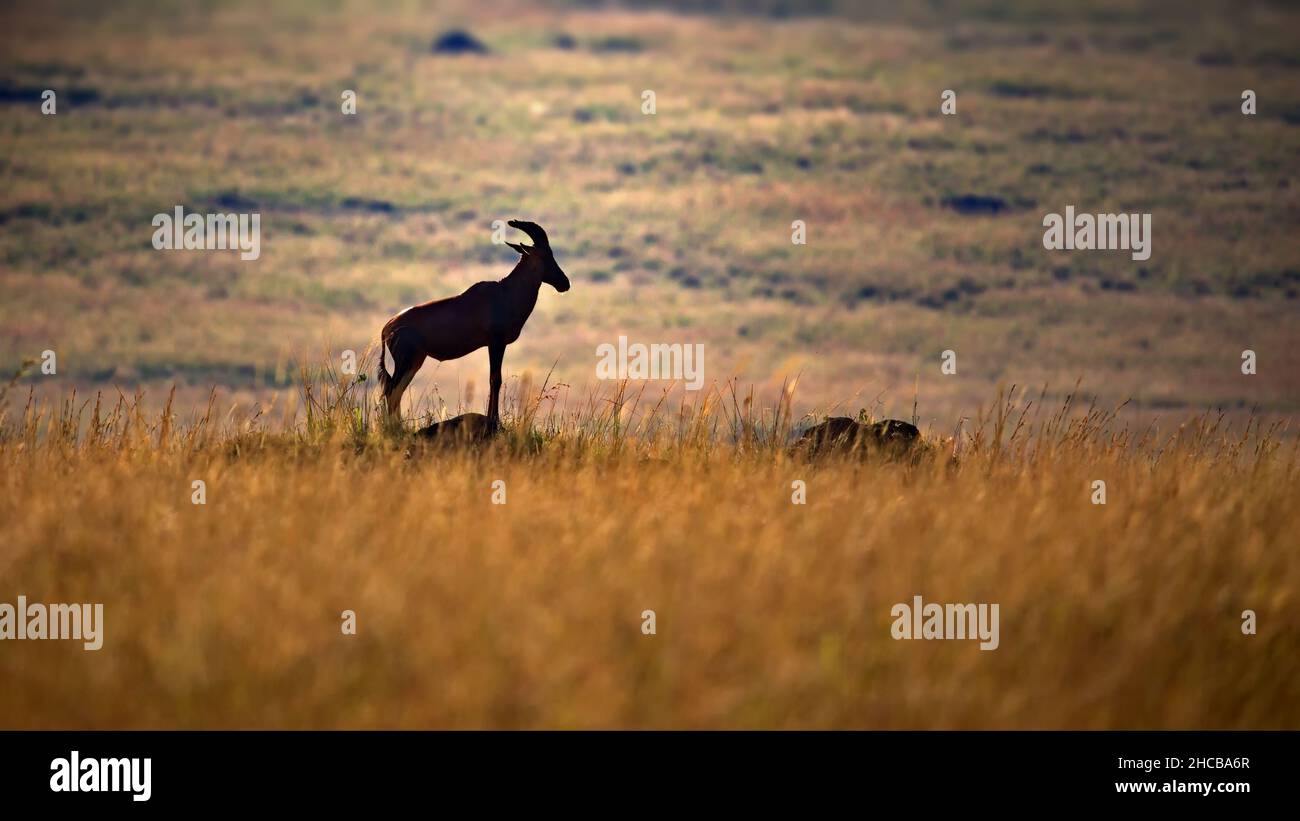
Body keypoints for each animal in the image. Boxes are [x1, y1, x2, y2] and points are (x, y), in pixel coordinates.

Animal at [377, 220, 570, 432]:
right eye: (545, 255)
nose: (565, 283)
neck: (505, 293)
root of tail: (387, 328)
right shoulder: (496, 343)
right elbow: (495, 379)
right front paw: (494, 421)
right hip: (407, 361)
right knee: (392, 390)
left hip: (415, 361)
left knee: (395, 390)